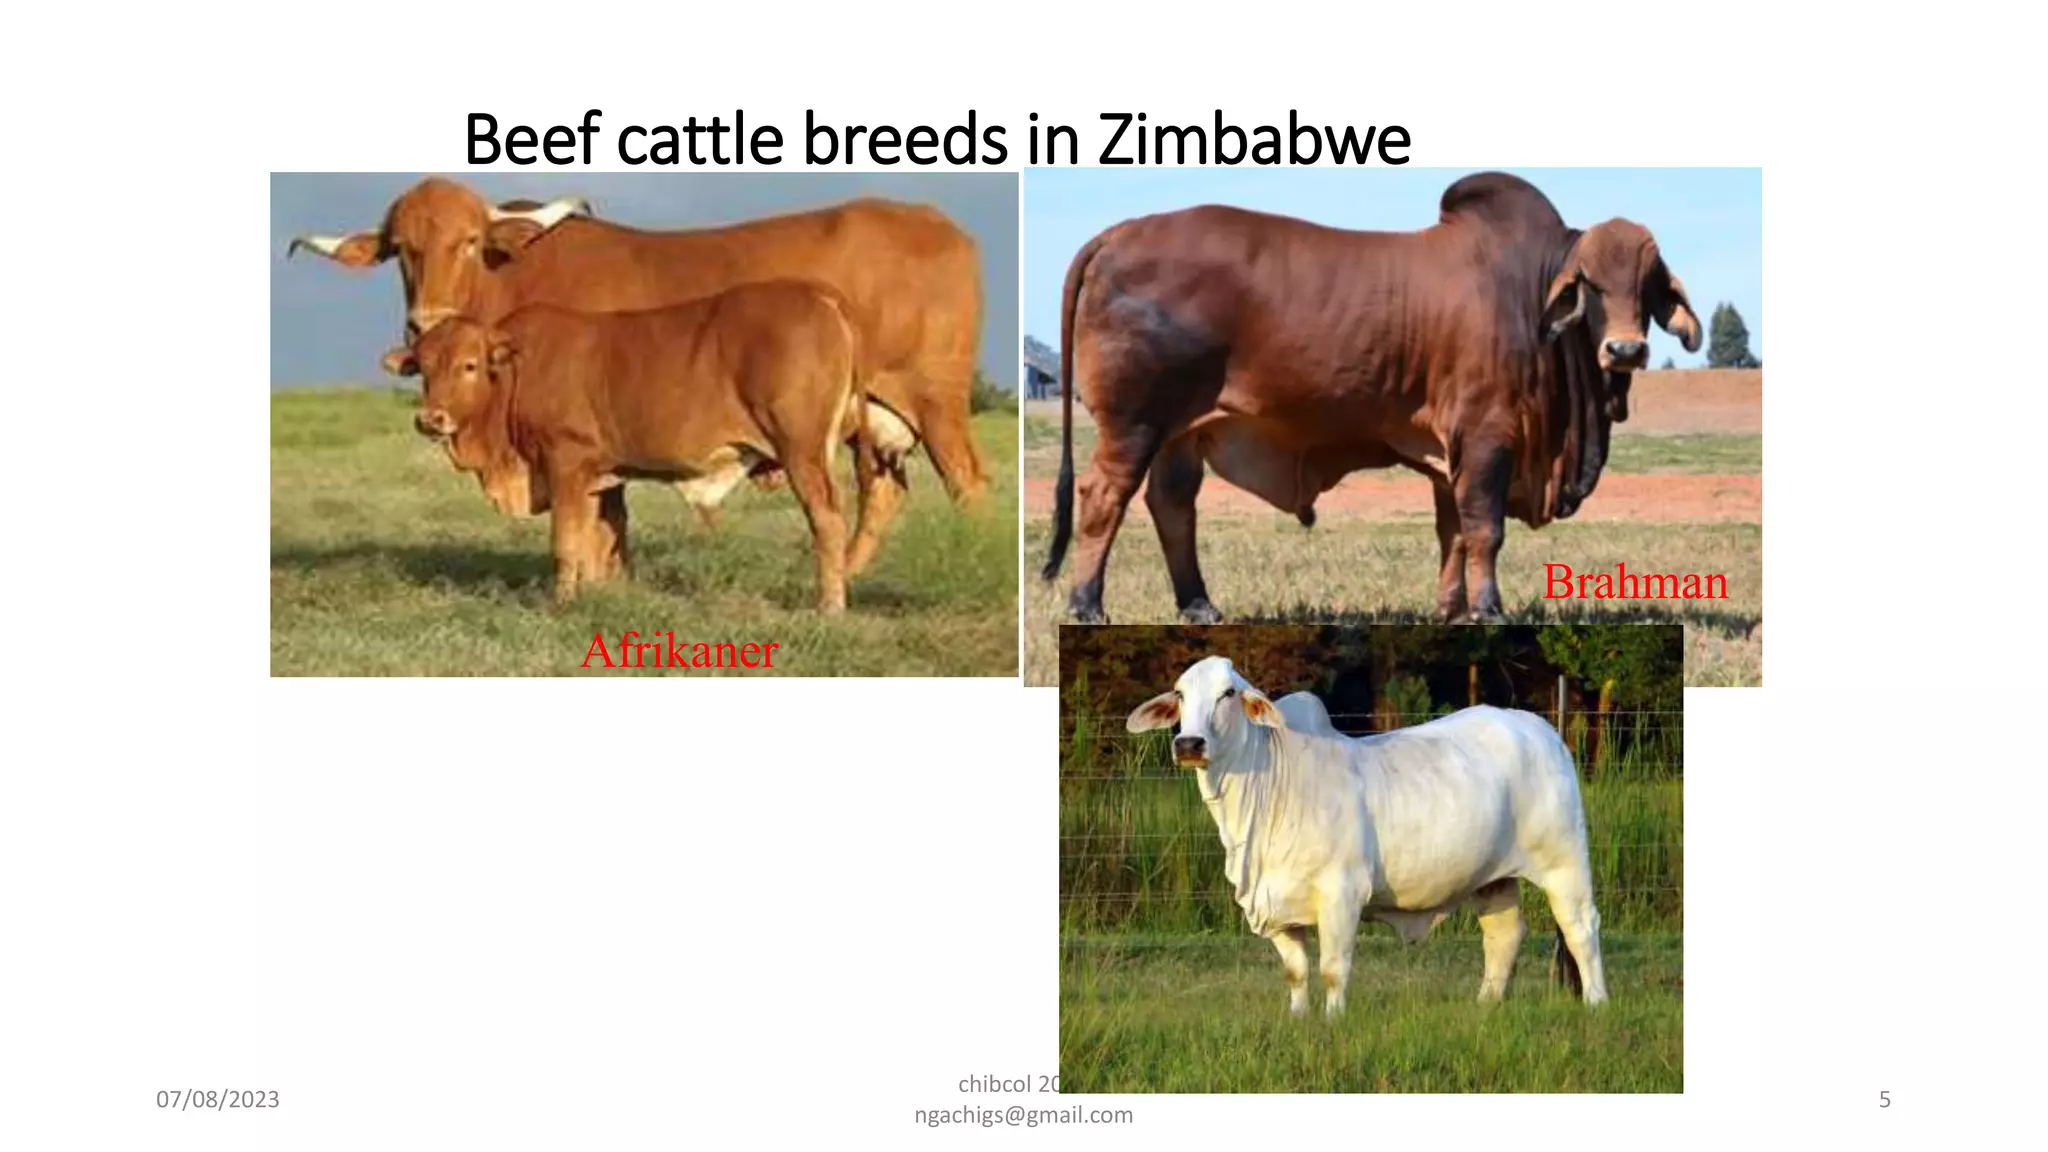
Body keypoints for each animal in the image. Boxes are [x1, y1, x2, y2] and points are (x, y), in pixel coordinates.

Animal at [288, 176, 986, 573]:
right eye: (402, 248)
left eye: (468, 241)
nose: (424, 321)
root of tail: (934, 220)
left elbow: (599, 524)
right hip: (876, 420)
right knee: (884, 494)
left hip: (936, 405)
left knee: (969, 488)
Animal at [394, 281, 875, 612]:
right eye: (424, 368)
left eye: (469, 365)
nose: (430, 419)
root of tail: (817, 293)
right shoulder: (590, 475)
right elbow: (591, 539)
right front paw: (588, 593)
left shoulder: (564, 461)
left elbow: (565, 541)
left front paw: (561, 603)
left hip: (803, 453)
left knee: (827, 521)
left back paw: (829, 605)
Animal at [1042, 172, 1702, 625]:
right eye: (1589, 284)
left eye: (1647, 285)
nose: (1625, 349)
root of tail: (1118, 232)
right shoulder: (1487, 437)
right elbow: (1485, 528)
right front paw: (1488, 608)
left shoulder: (1449, 453)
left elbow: (1453, 531)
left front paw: (1452, 610)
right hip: (1133, 425)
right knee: (1104, 499)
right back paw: (1087, 606)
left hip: (1182, 432)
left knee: (1172, 504)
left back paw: (1198, 604)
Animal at [1125, 656, 1607, 1016]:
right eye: (1181, 694)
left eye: (1227, 693)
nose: (1189, 744)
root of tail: (1543, 730)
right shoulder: (1276, 906)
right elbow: (1296, 972)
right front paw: (1298, 1018)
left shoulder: (1342, 893)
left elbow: (1333, 968)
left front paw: (1333, 1021)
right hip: (1493, 879)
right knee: (1504, 935)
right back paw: (1485, 1005)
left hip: (1564, 862)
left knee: (1581, 928)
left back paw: (1596, 1002)